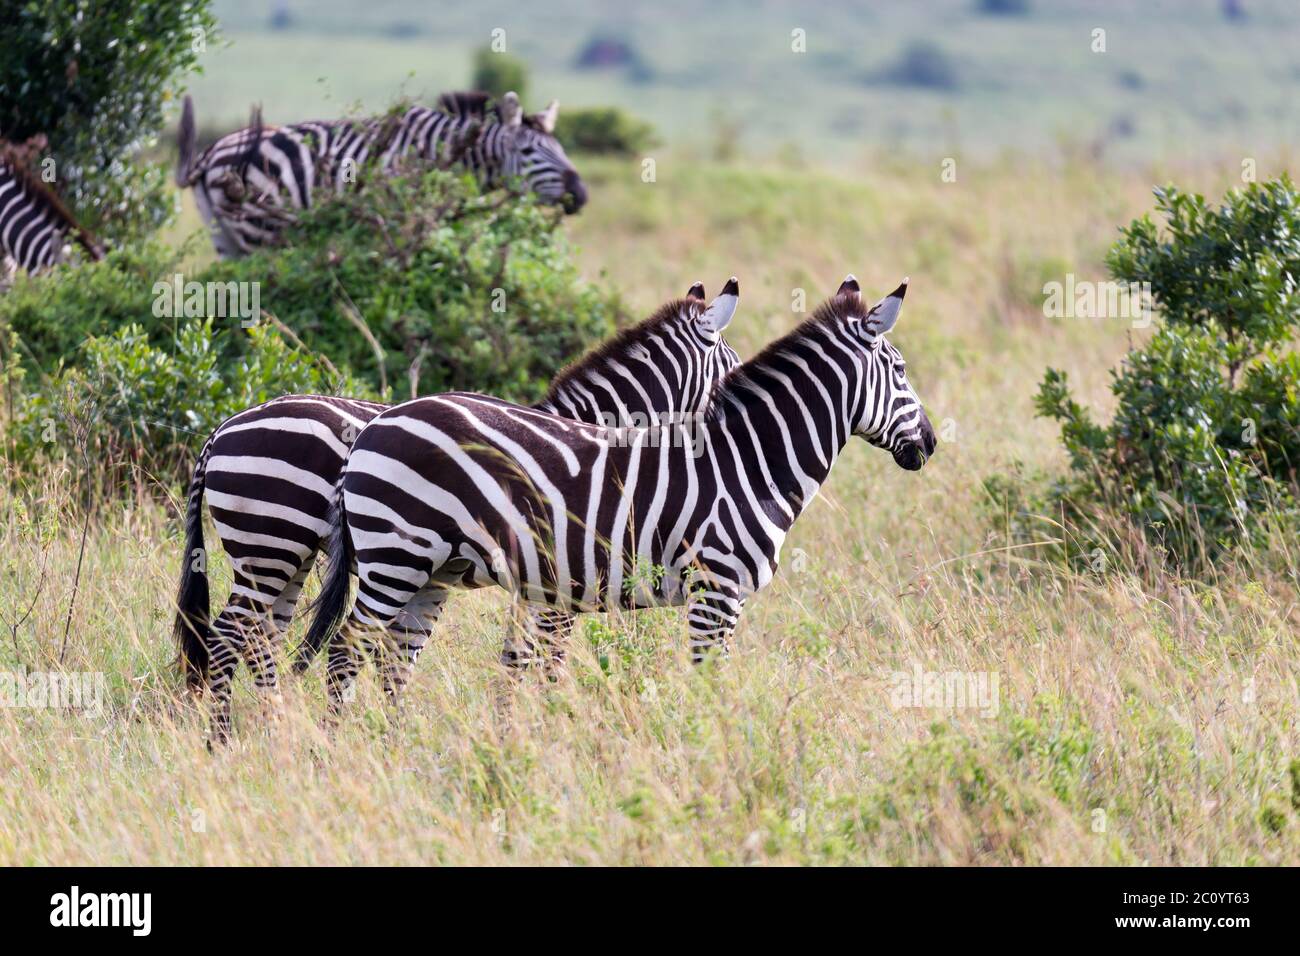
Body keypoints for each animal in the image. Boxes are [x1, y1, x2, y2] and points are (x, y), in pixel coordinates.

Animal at [173, 279, 742, 741]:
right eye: (736, 370)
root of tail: (222, 429)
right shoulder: (558, 585)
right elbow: (544, 664)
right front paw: (541, 731)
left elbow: (507, 661)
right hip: (273, 546)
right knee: (229, 638)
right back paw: (224, 741)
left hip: (283, 555)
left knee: (260, 640)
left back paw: (275, 731)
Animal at [175, 90, 586, 259]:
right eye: (529, 152)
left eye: (562, 148)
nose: (581, 194)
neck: (441, 148)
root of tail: (211, 152)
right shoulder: (395, 216)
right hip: (257, 229)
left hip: (223, 234)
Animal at [301, 276, 935, 712]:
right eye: (902, 371)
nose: (929, 444)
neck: (747, 462)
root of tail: (373, 429)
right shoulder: (714, 591)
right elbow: (704, 682)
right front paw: (713, 748)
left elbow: (524, 669)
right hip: (395, 555)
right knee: (345, 650)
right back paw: (340, 751)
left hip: (430, 569)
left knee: (389, 657)